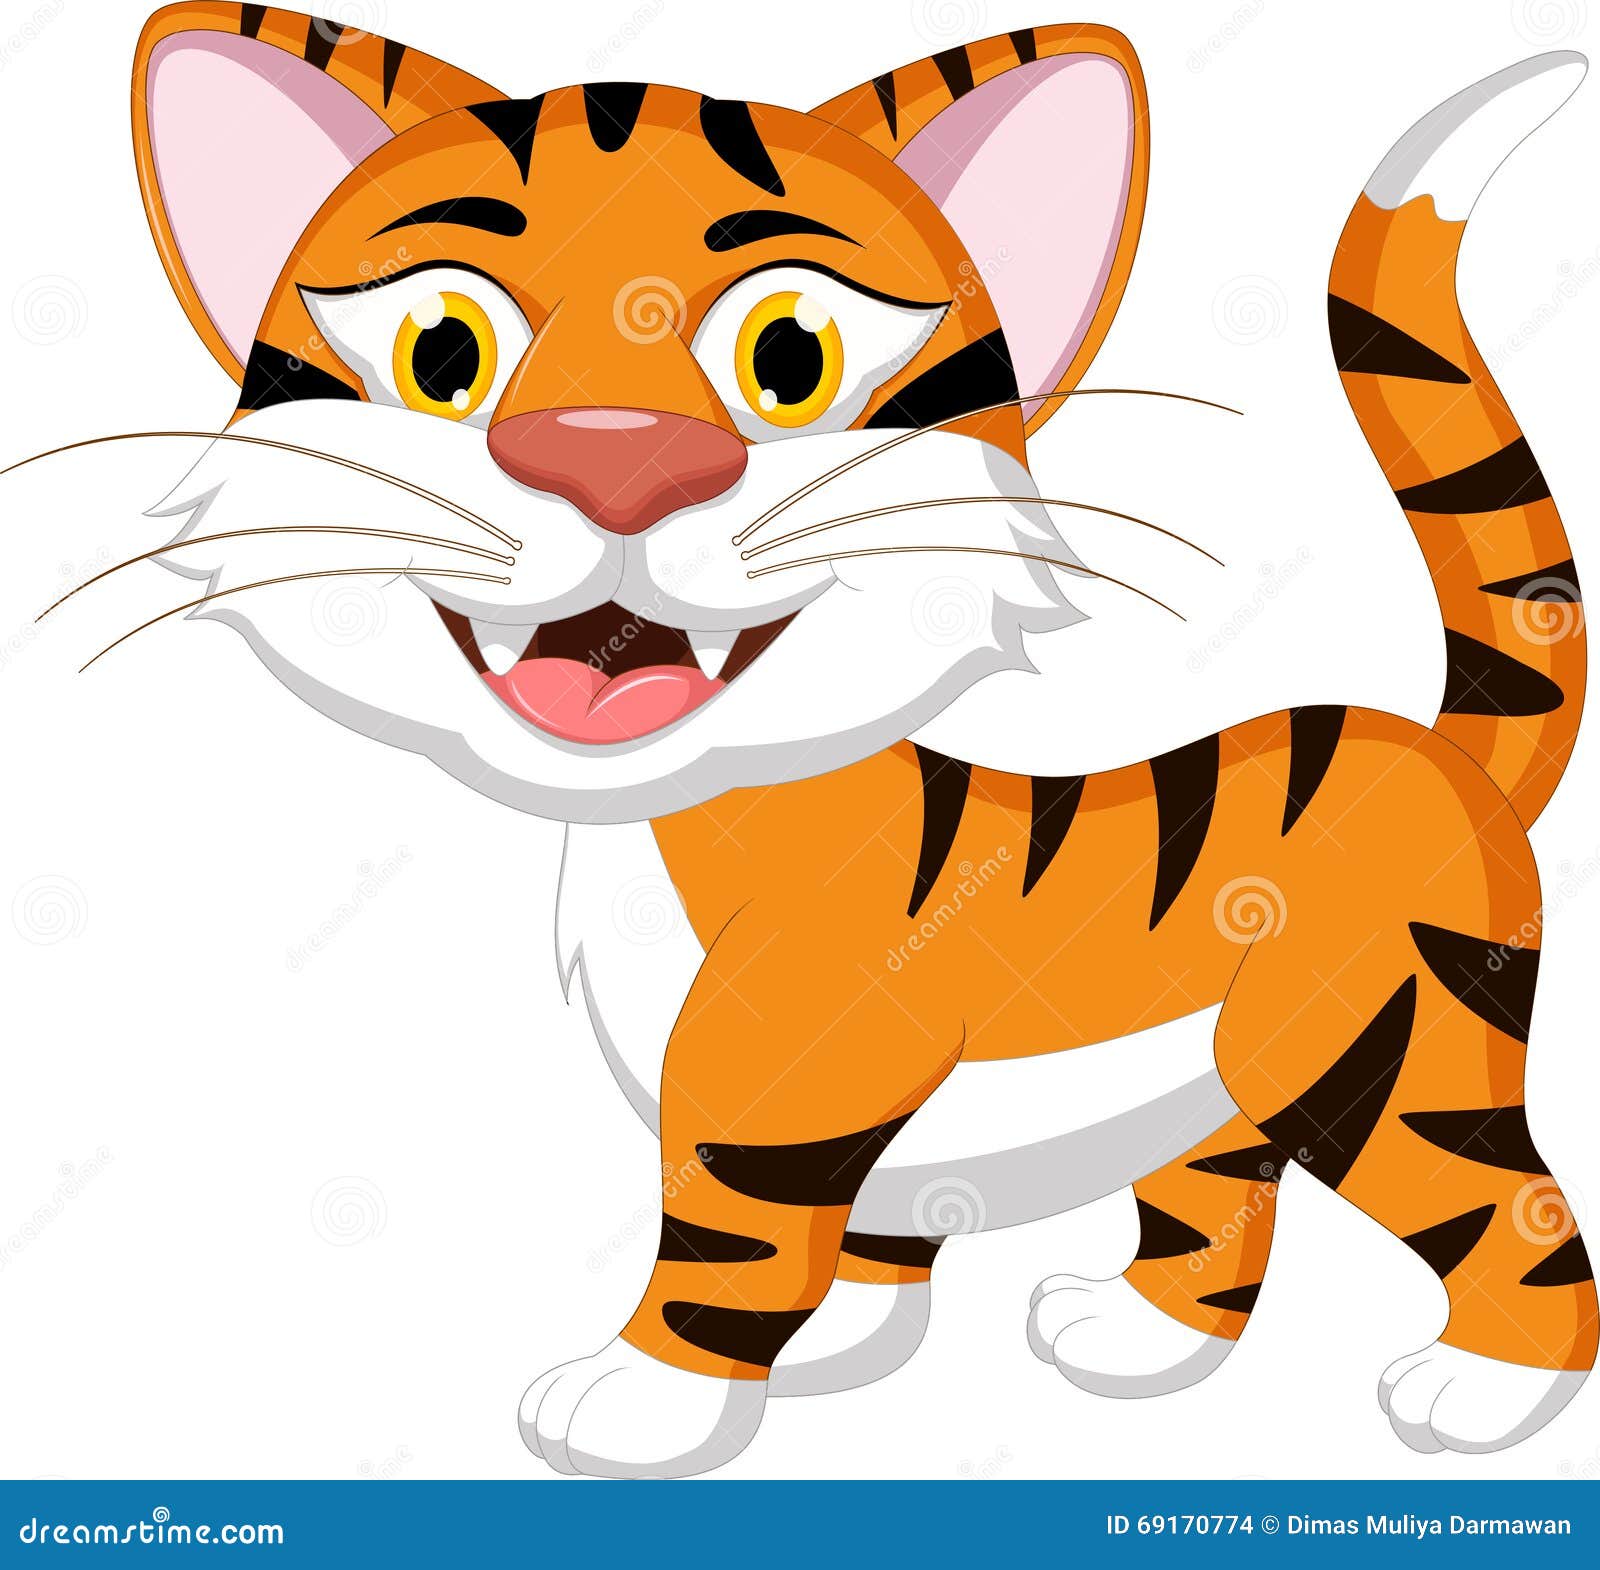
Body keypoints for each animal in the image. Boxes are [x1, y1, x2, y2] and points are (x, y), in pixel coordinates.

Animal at [43, 5, 1593, 1476]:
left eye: (789, 358)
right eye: (446, 354)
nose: (618, 456)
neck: (668, 808)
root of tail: (1426, 745)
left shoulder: (788, 1063)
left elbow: (726, 1228)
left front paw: (647, 1401)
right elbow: (864, 1230)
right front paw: (847, 1327)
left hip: (1371, 1048)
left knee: (1508, 1206)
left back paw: (1486, 1389)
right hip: (1215, 1083)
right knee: (1217, 1187)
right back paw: (1136, 1335)